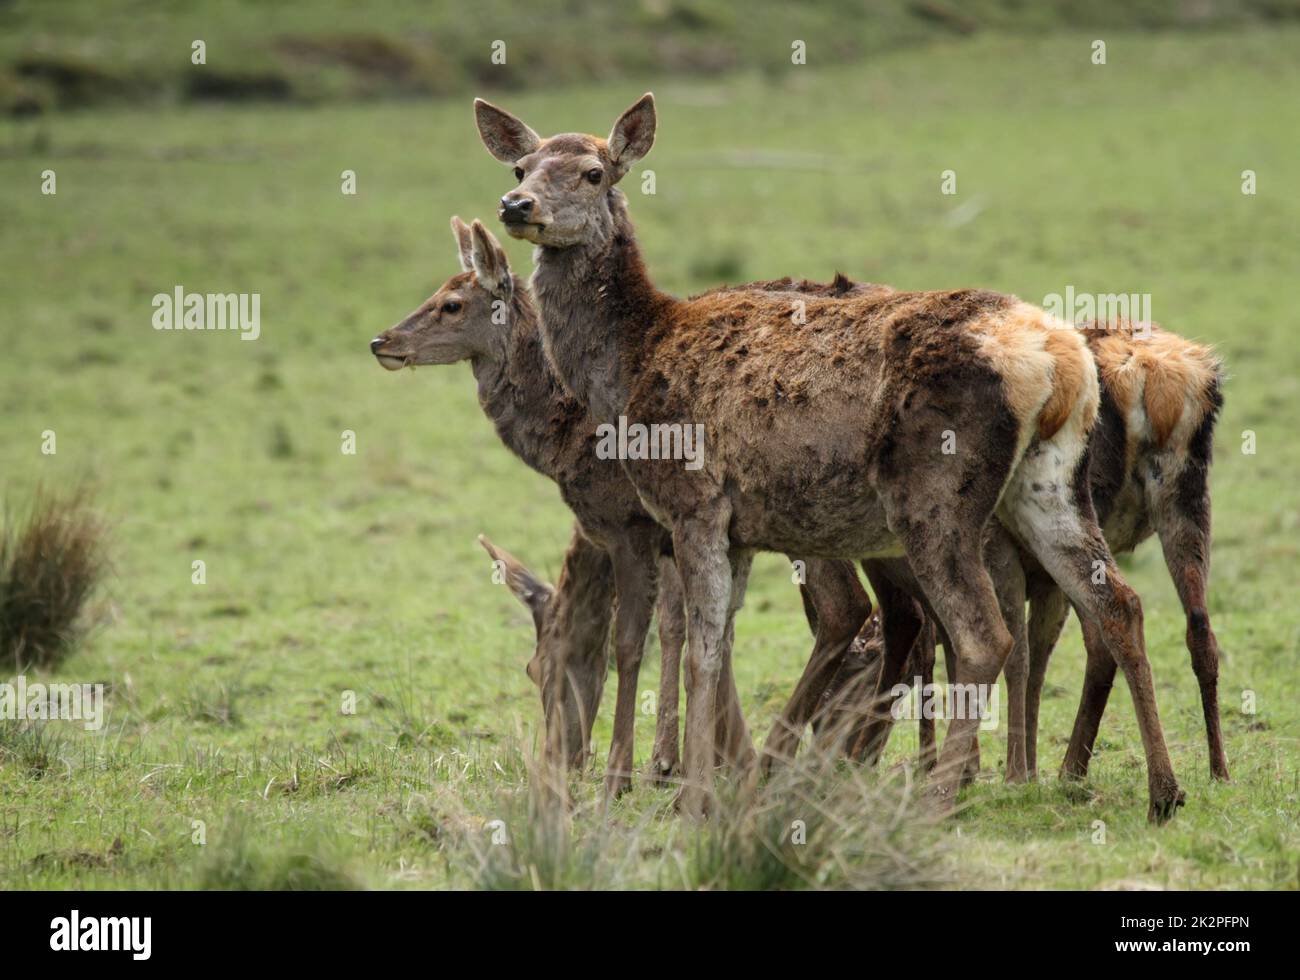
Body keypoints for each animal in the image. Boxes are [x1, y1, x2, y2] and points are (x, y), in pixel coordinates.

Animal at [369, 218, 873, 797]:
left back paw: (787, 761)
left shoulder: (640, 523)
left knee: (846, 607)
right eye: (530, 670)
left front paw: (654, 768)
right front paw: (695, 760)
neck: (567, 438)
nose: (382, 340)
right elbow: (691, 629)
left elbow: (648, 637)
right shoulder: (675, 535)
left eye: (451, 303)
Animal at [473, 92, 1185, 822]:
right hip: (1049, 482)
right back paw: (1164, 790)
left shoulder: (693, 501)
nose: (516, 205)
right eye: (523, 166)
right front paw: (717, 785)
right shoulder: (737, 529)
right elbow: (720, 648)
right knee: (1118, 602)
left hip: (933, 491)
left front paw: (693, 797)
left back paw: (937, 796)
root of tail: (1061, 360)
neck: (629, 366)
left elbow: (701, 652)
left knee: (984, 633)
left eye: (593, 173)